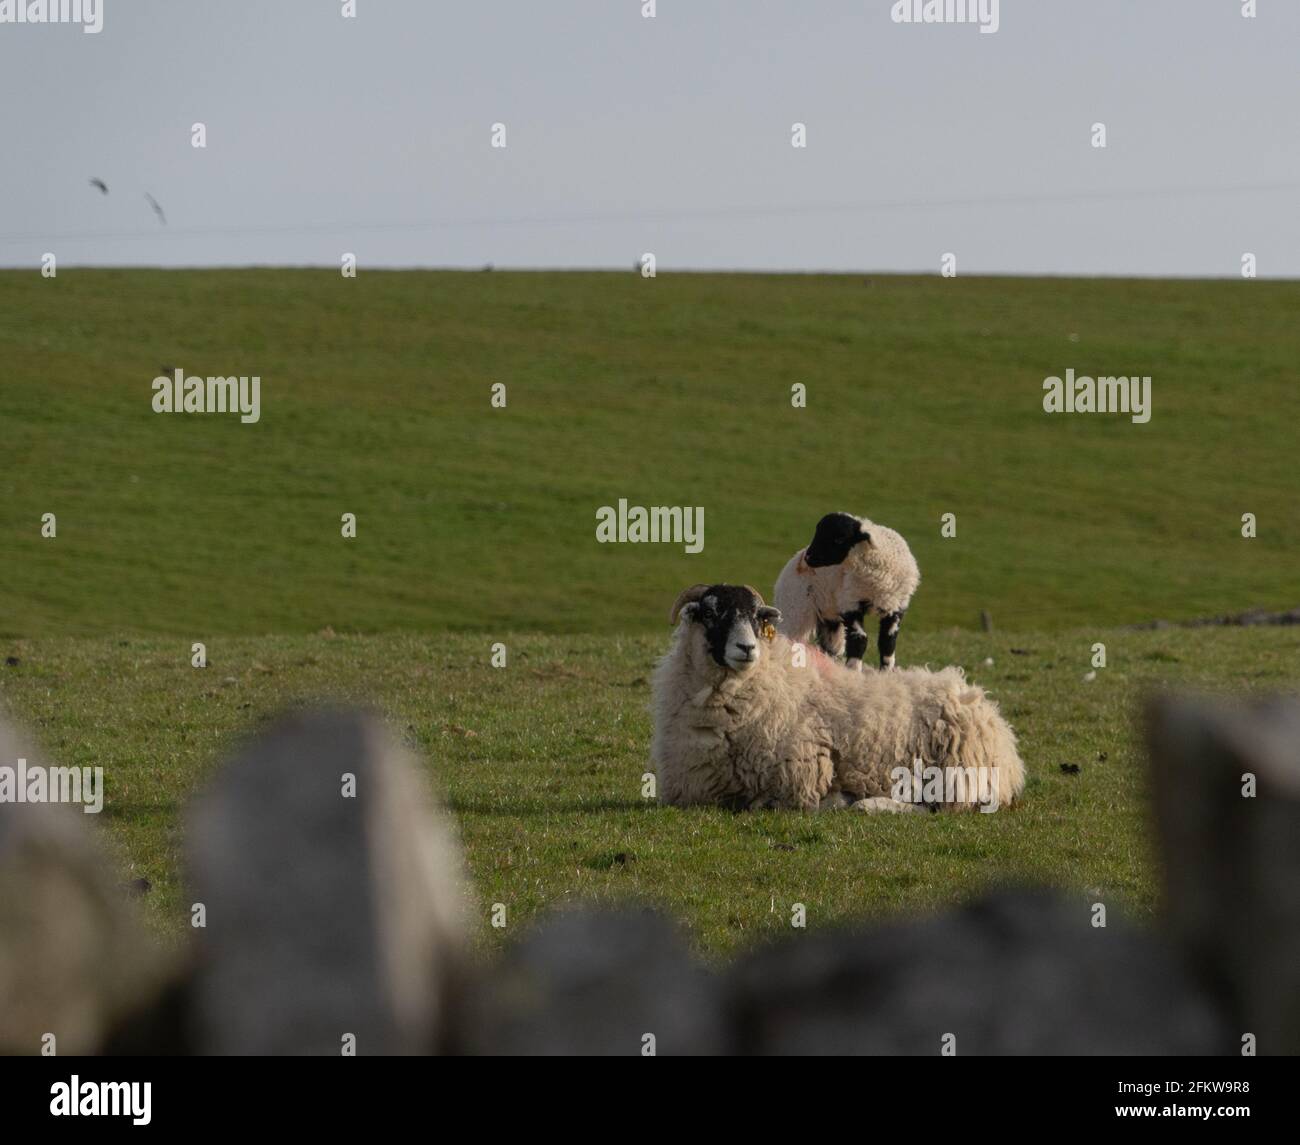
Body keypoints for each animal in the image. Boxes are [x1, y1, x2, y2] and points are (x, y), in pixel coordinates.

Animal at [650, 583, 1023, 814]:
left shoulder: (798, 781)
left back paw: (867, 804)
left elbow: (767, 803)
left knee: (937, 807)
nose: (747, 648)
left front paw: (839, 799)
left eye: (757, 617)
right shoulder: (692, 789)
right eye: (710, 613)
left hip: (960, 774)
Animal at [773, 512, 920, 671]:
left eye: (839, 539)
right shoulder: (850, 602)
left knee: (830, 647)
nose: (808, 557)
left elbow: (887, 643)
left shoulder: (896, 607)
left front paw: (886, 672)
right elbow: (859, 639)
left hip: (828, 615)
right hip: (795, 608)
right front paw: (854, 670)